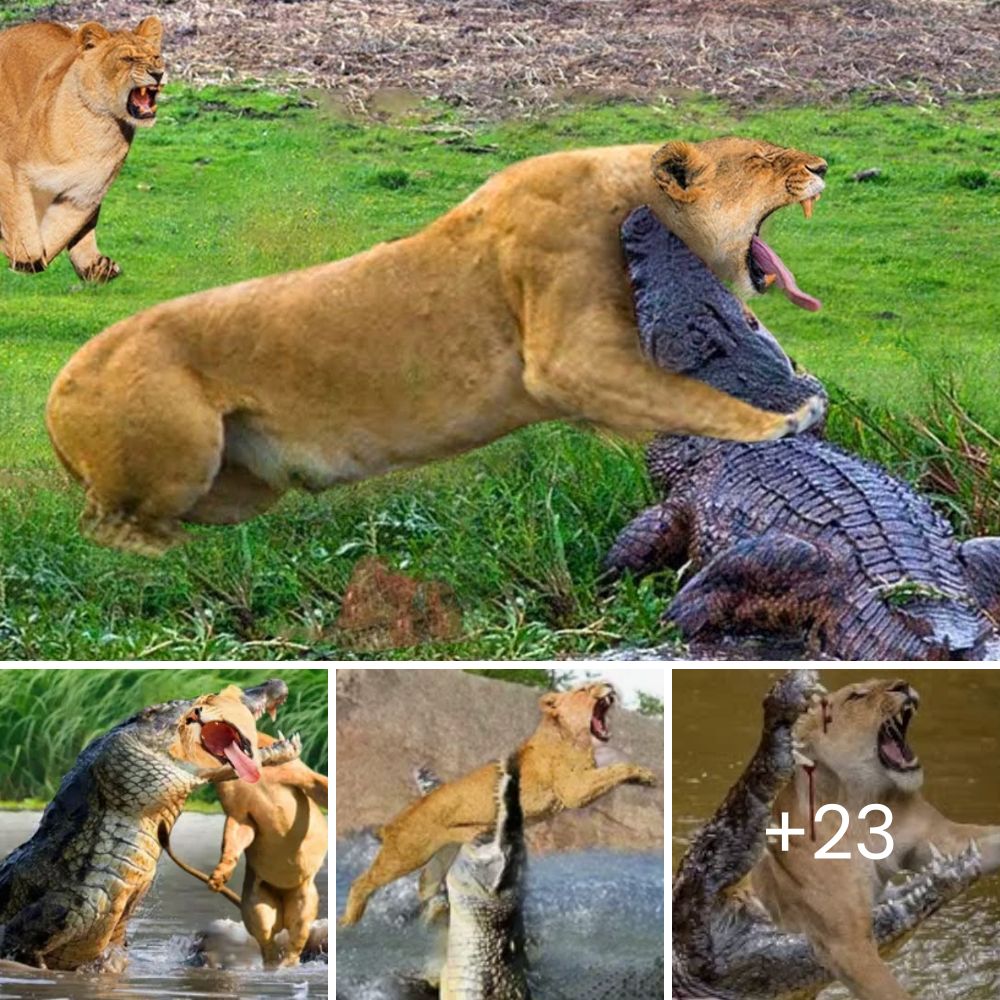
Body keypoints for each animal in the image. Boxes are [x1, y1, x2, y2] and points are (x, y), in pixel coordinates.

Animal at [0, 16, 164, 281]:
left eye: (156, 57)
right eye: (127, 59)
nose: (158, 74)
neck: (96, 129)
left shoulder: (85, 193)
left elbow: (59, 230)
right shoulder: (9, 168)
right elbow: (22, 219)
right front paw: (24, 258)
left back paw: (98, 266)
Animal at [46, 138, 827, 556]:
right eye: (763, 158)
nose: (821, 165)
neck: (633, 195)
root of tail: (55, 394)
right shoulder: (568, 359)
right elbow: (689, 397)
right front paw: (781, 422)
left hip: (241, 486)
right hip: (180, 451)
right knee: (99, 529)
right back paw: (176, 559)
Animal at [339, 681, 657, 927]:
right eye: (583, 689)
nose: (610, 685)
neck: (573, 738)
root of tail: (394, 821)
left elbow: (614, 771)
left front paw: (644, 778)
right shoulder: (573, 790)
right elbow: (615, 770)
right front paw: (645, 774)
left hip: (441, 854)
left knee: (424, 885)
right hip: (407, 852)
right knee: (363, 882)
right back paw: (349, 924)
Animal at [749, 678, 1000, 999]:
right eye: (857, 695)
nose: (903, 684)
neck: (863, 805)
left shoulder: (940, 840)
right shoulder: (845, 943)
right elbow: (890, 991)